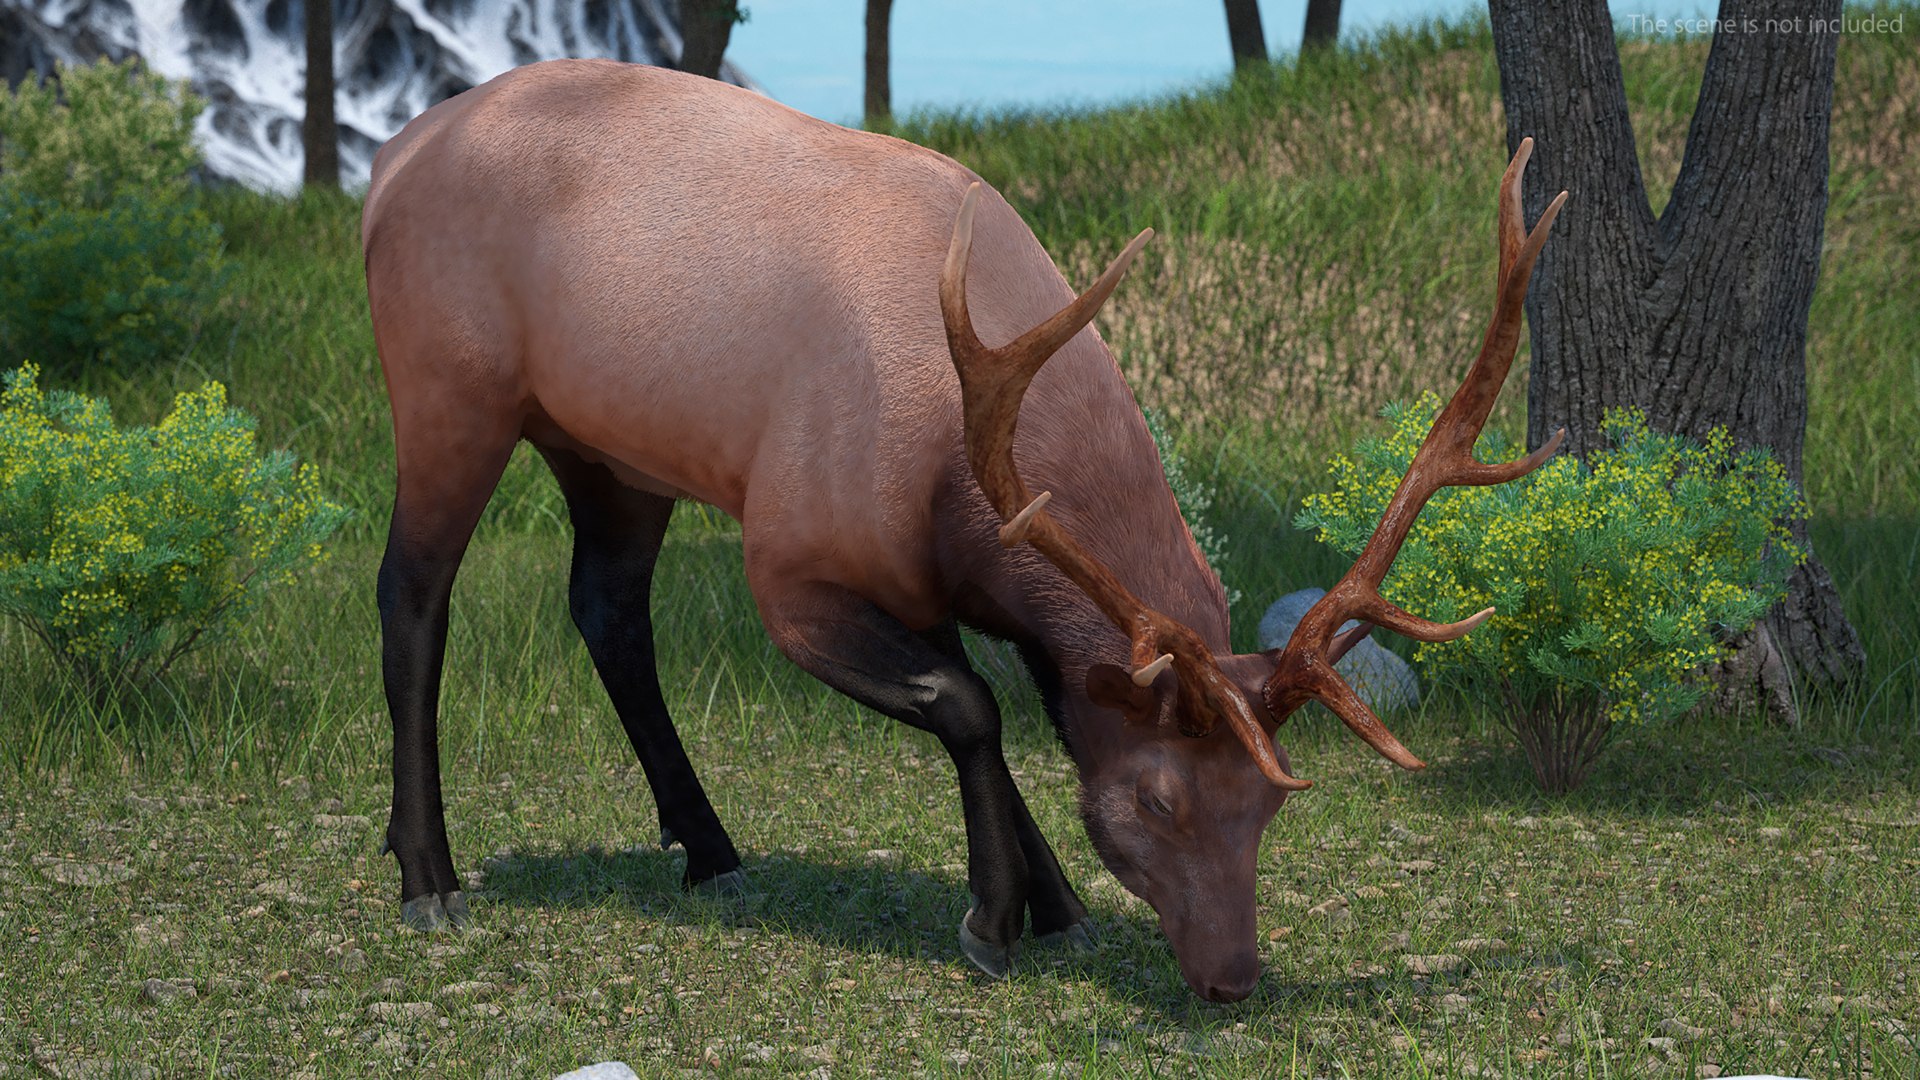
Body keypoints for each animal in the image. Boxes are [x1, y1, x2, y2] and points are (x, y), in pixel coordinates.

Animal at [363, 58, 1565, 1003]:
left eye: (1272, 801)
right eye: (1157, 799)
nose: (1234, 979)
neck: (970, 488)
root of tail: (386, 166)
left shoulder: (921, 580)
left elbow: (993, 699)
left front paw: (1052, 907)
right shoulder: (792, 555)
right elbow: (970, 703)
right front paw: (996, 922)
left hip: (613, 452)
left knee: (608, 609)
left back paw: (705, 848)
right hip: (449, 386)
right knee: (412, 591)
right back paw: (428, 876)